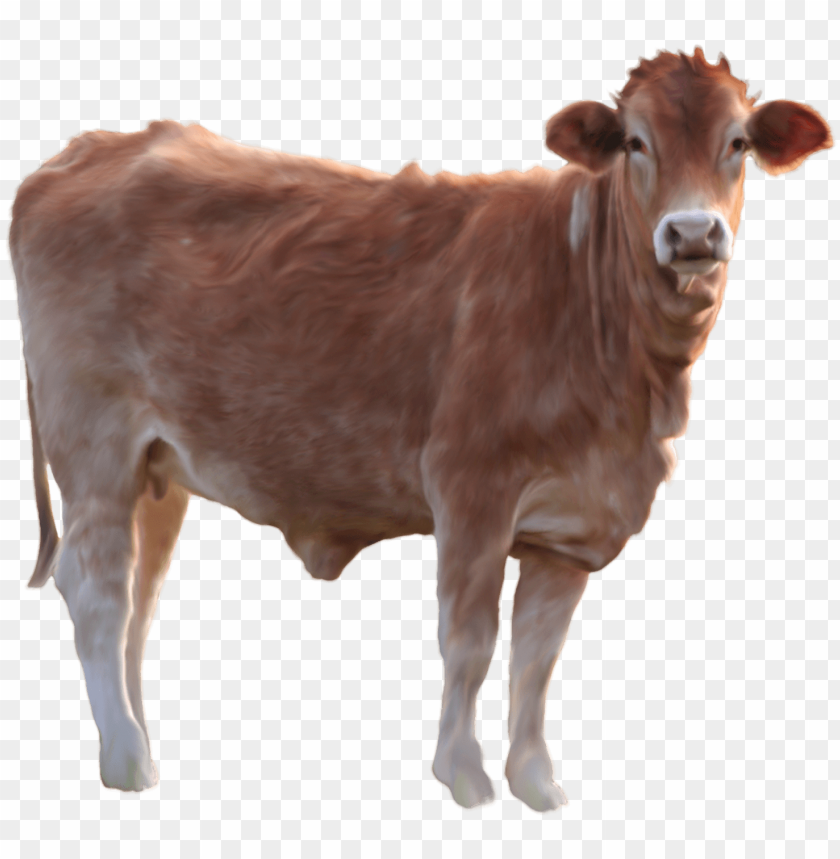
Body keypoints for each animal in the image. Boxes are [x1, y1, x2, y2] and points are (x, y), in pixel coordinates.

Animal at [10, 48, 831, 811]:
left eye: (737, 142)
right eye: (635, 141)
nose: (692, 233)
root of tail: (82, 151)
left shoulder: (571, 526)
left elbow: (537, 657)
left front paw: (537, 782)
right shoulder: (471, 488)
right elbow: (471, 642)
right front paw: (464, 774)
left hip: (158, 469)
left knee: (138, 602)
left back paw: (138, 745)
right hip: (95, 444)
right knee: (98, 592)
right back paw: (125, 757)